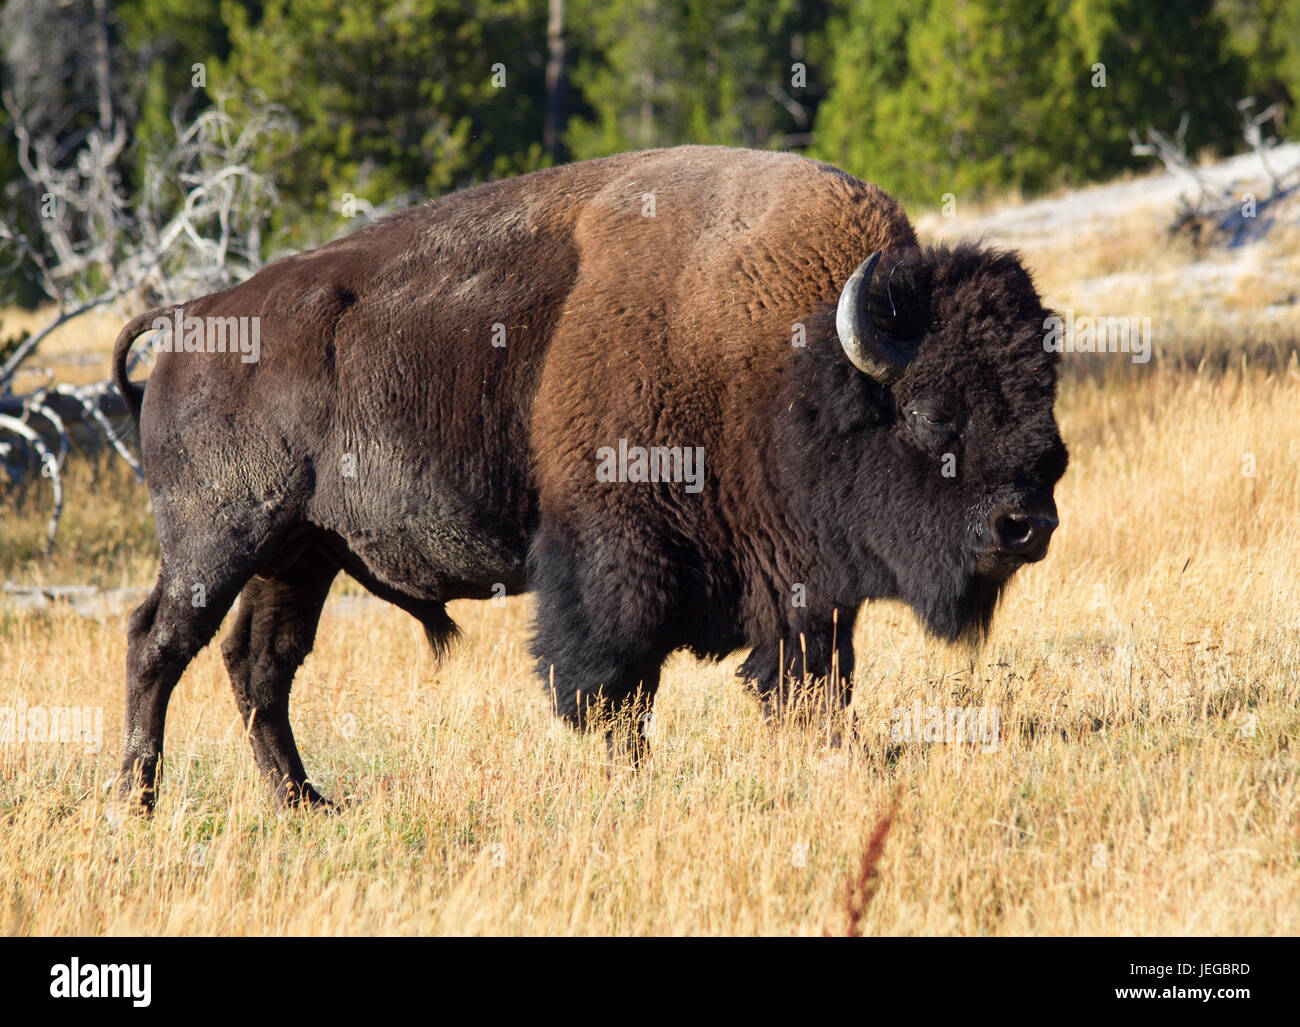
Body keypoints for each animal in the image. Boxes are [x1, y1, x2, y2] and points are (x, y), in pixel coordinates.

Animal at [112, 145, 1067, 808]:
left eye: (1043, 399)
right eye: (935, 412)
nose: (1028, 524)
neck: (789, 360)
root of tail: (191, 319)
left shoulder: (805, 588)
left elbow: (816, 680)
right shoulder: (614, 562)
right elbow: (613, 687)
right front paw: (631, 779)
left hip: (299, 553)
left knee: (259, 663)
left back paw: (307, 804)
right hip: (219, 536)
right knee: (159, 642)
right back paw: (136, 801)